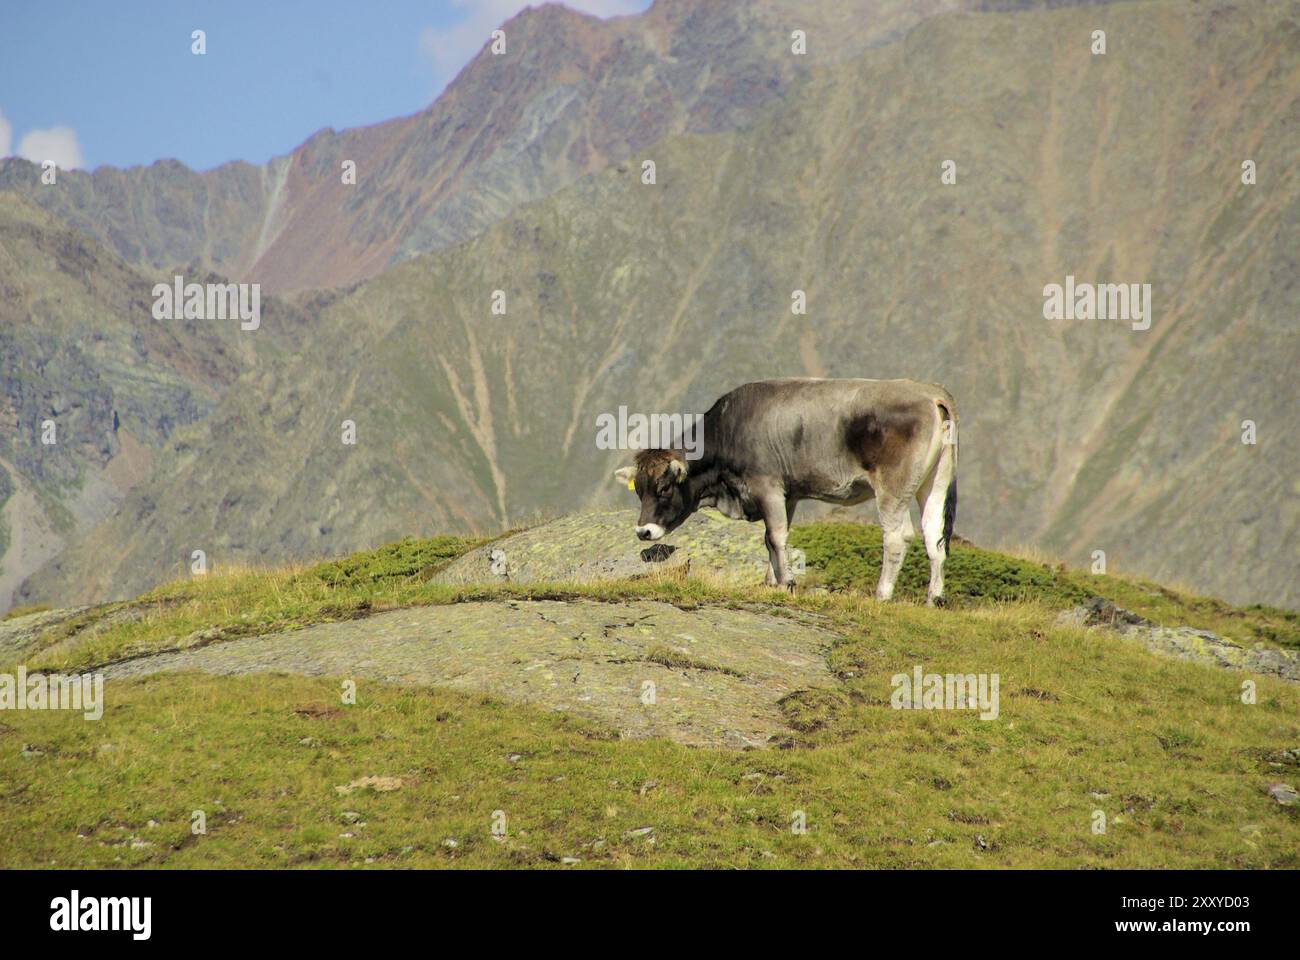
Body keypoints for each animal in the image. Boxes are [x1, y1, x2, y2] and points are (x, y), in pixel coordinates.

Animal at [613, 378, 958, 604]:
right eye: (638, 490)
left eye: (664, 488)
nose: (643, 531)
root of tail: (931, 393)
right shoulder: (787, 495)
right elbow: (771, 538)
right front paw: (772, 583)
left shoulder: (767, 486)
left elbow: (777, 536)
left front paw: (788, 583)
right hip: (934, 482)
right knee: (934, 535)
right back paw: (935, 598)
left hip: (892, 489)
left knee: (897, 536)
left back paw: (882, 595)